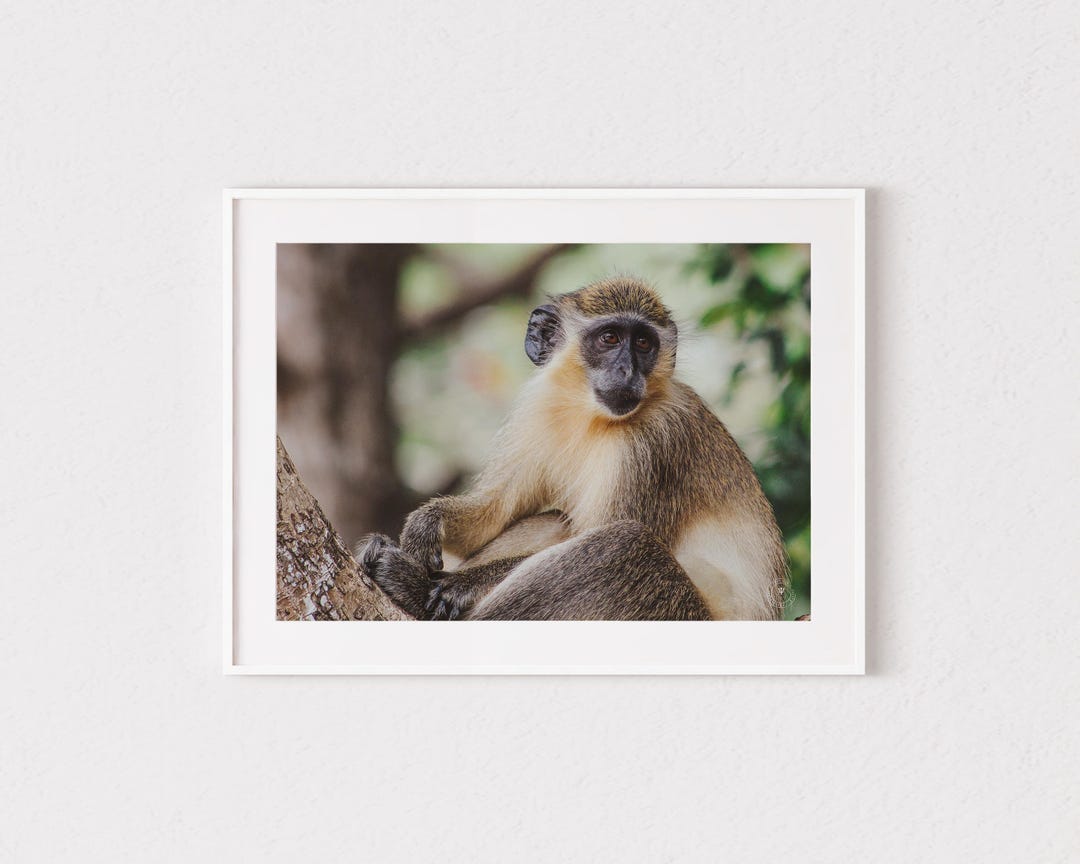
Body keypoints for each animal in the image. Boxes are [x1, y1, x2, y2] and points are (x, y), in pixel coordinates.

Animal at [358, 276, 788, 621]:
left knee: (623, 544)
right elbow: (494, 515)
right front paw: (425, 523)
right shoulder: (538, 413)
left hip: (675, 612)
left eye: (643, 343)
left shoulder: (658, 441)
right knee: (554, 521)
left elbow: (604, 529)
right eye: (610, 338)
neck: (591, 415)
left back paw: (413, 591)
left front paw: (450, 583)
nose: (627, 371)